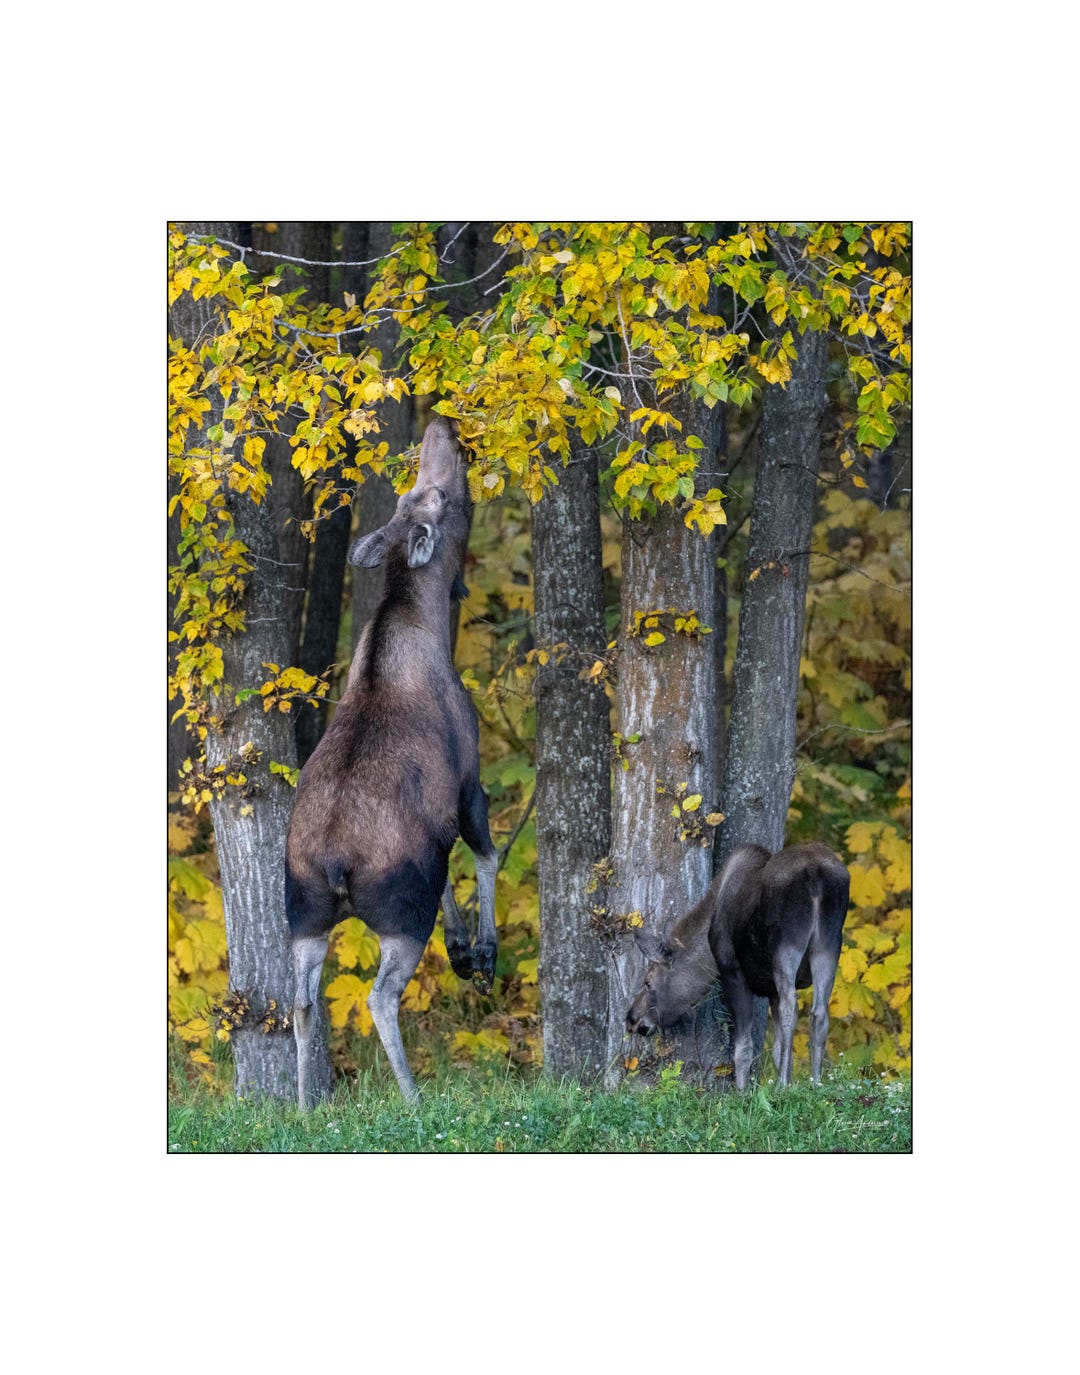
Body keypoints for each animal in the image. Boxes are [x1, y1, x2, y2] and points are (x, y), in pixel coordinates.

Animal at [284, 416, 498, 1108]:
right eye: (438, 500)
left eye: (411, 497)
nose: (442, 429)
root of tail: (332, 864)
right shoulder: (468, 782)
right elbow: (484, 857)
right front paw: (482, 951)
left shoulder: (436, 824)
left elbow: (452, 869)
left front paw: (463, 946)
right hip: (401, 912)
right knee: (379, 998)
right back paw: (412, 1097)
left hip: (303, 913)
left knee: (301, 1003)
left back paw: (305, 1107)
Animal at [626, 842, 849, 1089]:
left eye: (648, 981)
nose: (632, 1018)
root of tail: (815, 873)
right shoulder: (770, 989)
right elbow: (778, 1048)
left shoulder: (732, 972)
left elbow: (743, 1047)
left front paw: (742, 1091)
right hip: (829, 945)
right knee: (819, 1012)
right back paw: (815, 1082)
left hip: (786, 945)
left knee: (791, 1006)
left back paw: (782, 1083)